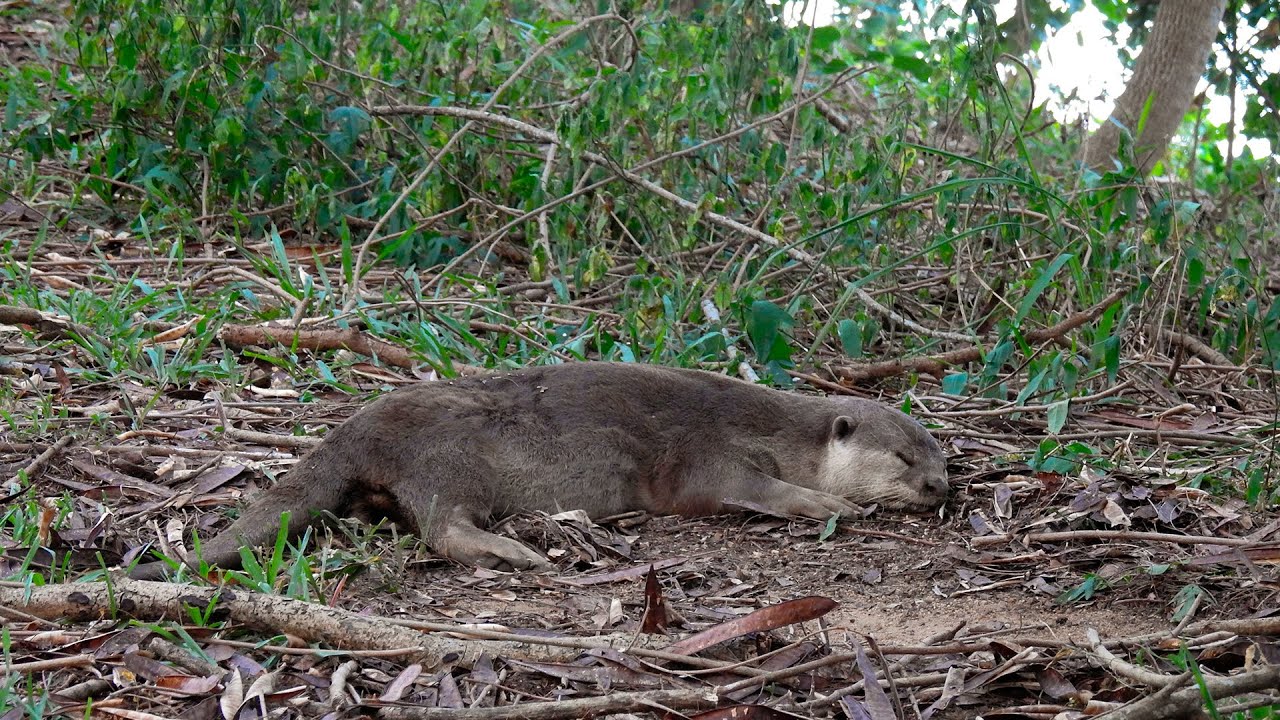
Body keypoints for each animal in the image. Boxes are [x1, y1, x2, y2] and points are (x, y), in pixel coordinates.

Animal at [128, 362, 948, 578]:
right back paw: (516, 550)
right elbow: (741, 490)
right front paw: (823, 505)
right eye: (904, 456)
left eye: (940, 454)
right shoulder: (710, 455)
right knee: (443, 530)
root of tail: (359, 424)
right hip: (454, 459)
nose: (941, 486)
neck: (781, 432)